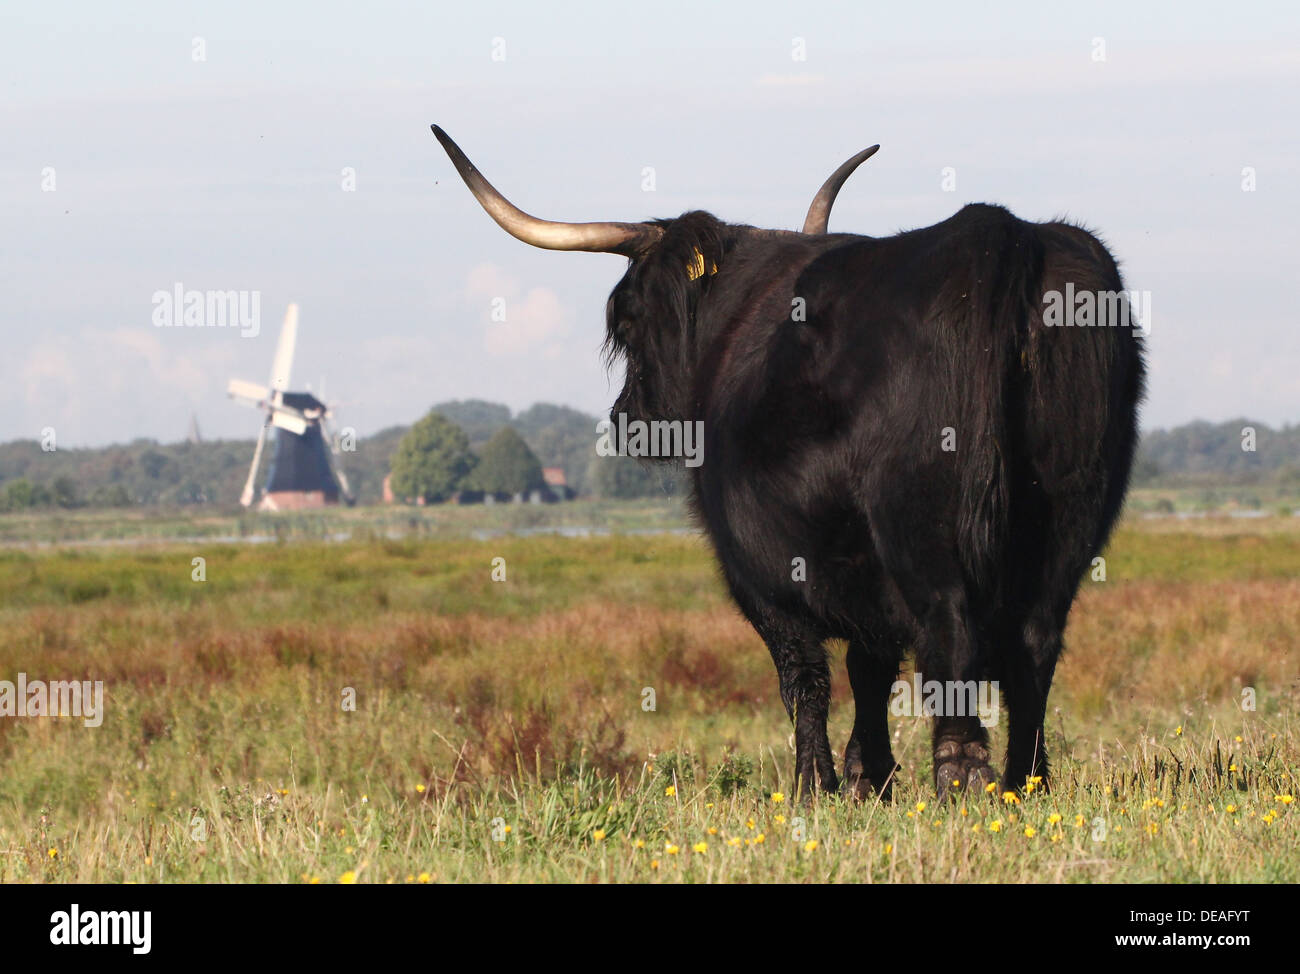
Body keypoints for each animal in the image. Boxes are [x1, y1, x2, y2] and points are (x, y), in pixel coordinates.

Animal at [431, 125, 1145, 800]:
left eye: (626, 321)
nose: (628, 420)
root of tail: (996, 231)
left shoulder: (757, 569)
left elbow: (804, 676)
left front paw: (812, 787)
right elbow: (867, 669)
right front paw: (867, 779)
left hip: (920, 530)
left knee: (952, 636)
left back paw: (962, 777)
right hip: (1069, 522)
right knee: (1035, 646)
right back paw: (1028, 781)